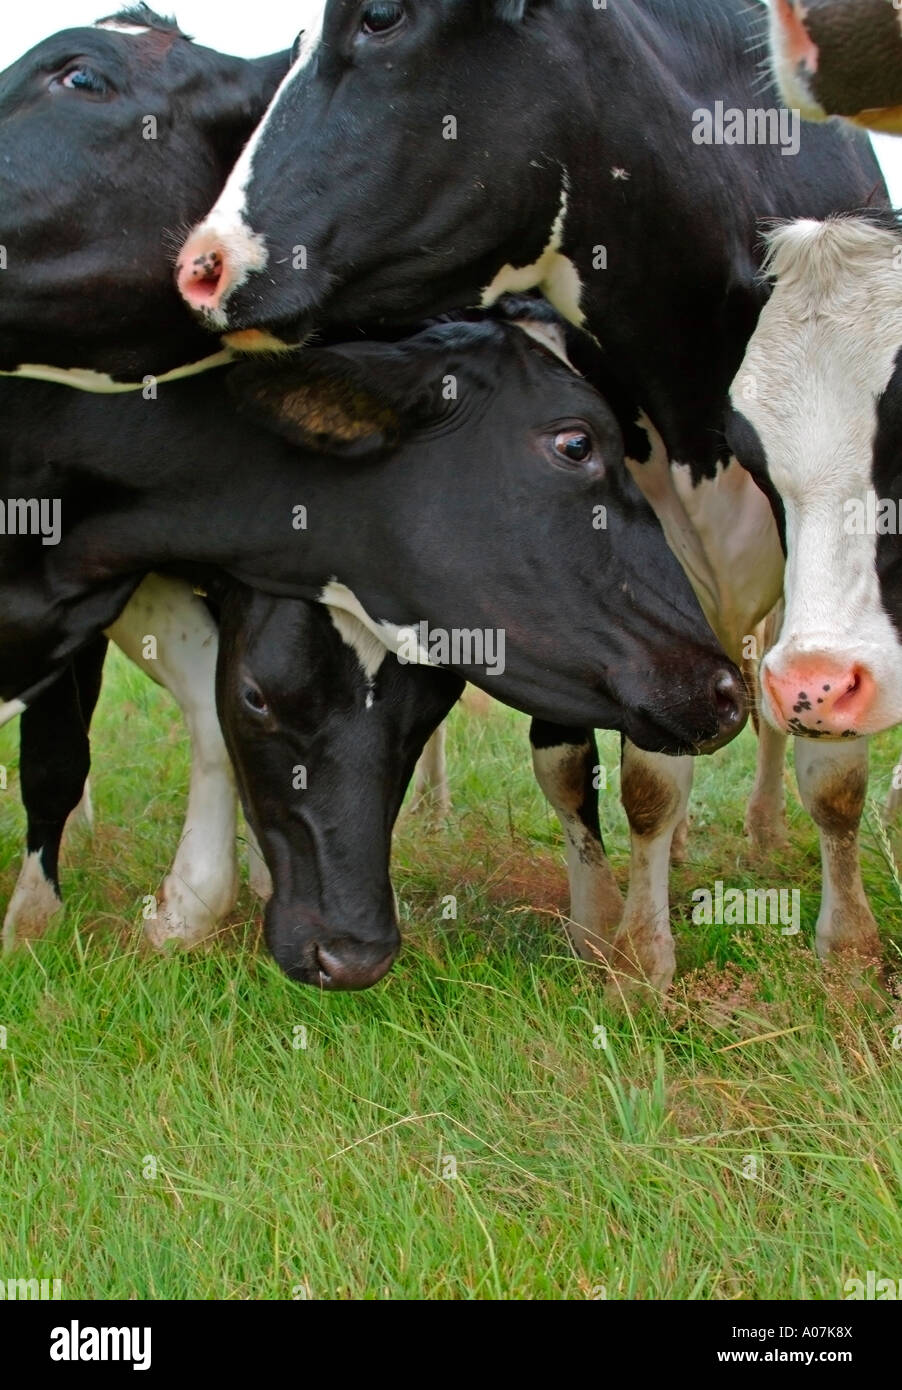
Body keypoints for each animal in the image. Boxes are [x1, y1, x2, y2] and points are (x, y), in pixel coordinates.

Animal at [174, 0, 889, 993]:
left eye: (380, 18)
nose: (200, 264)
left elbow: (832, 765)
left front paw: (847, 946)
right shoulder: (602, 584)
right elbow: (625, 773)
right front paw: (627, 946)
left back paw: (762, 826)